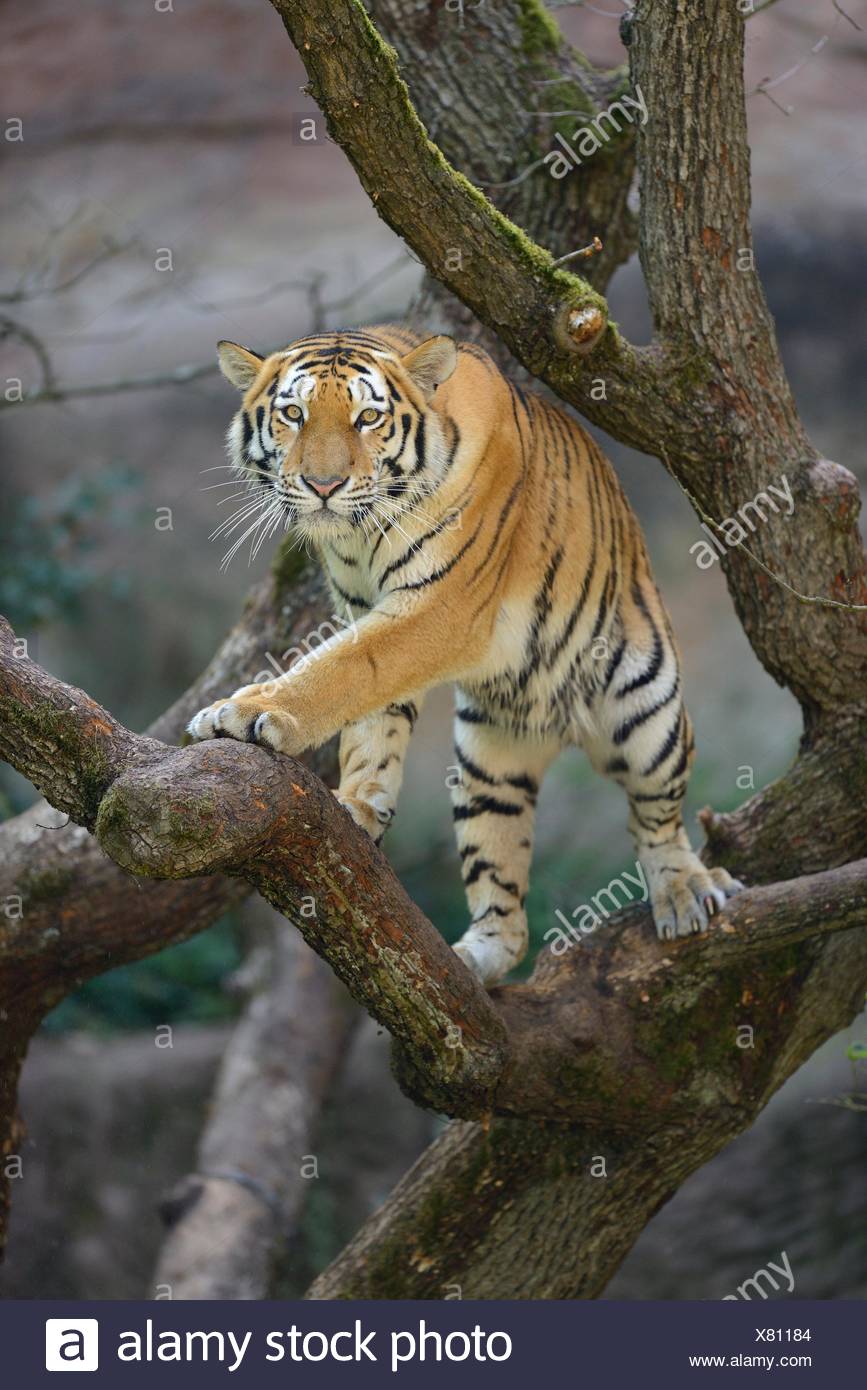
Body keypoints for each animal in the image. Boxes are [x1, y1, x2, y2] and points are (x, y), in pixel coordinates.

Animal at [188, 325, 743, 985]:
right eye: (293, 414)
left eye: (368, 417)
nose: (324, 487)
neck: (360, 537)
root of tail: (558, 724)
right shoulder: (365, 609)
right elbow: (371, 714)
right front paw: (358, 803)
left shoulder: (440, 607)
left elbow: (342, 669)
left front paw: (246, 712)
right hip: (488, 766)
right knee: (504, 882)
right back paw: (476, 957)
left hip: (648, 716)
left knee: (655, 818)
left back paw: (685, 891)